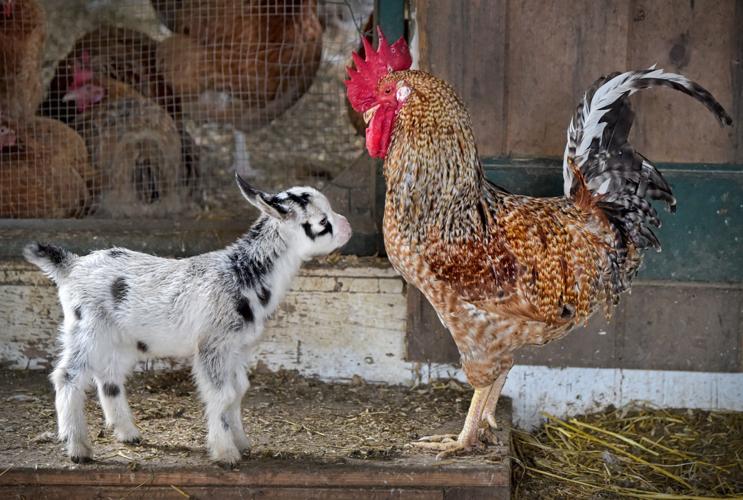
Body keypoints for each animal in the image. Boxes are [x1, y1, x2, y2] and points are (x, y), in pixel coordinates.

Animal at [23, 174, 352, 465]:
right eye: (322, 222)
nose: (347, 227)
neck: (241, 274)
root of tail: (72, 265)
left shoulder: (236, 348)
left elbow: (238, 391)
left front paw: (241, 442)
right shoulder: (213, 345)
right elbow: (222, 395)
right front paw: (225, 453)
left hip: (120, 340)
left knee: (109, 378)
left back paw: (128, 433)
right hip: (86, 329)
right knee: (67, 376)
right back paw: (78, 448)